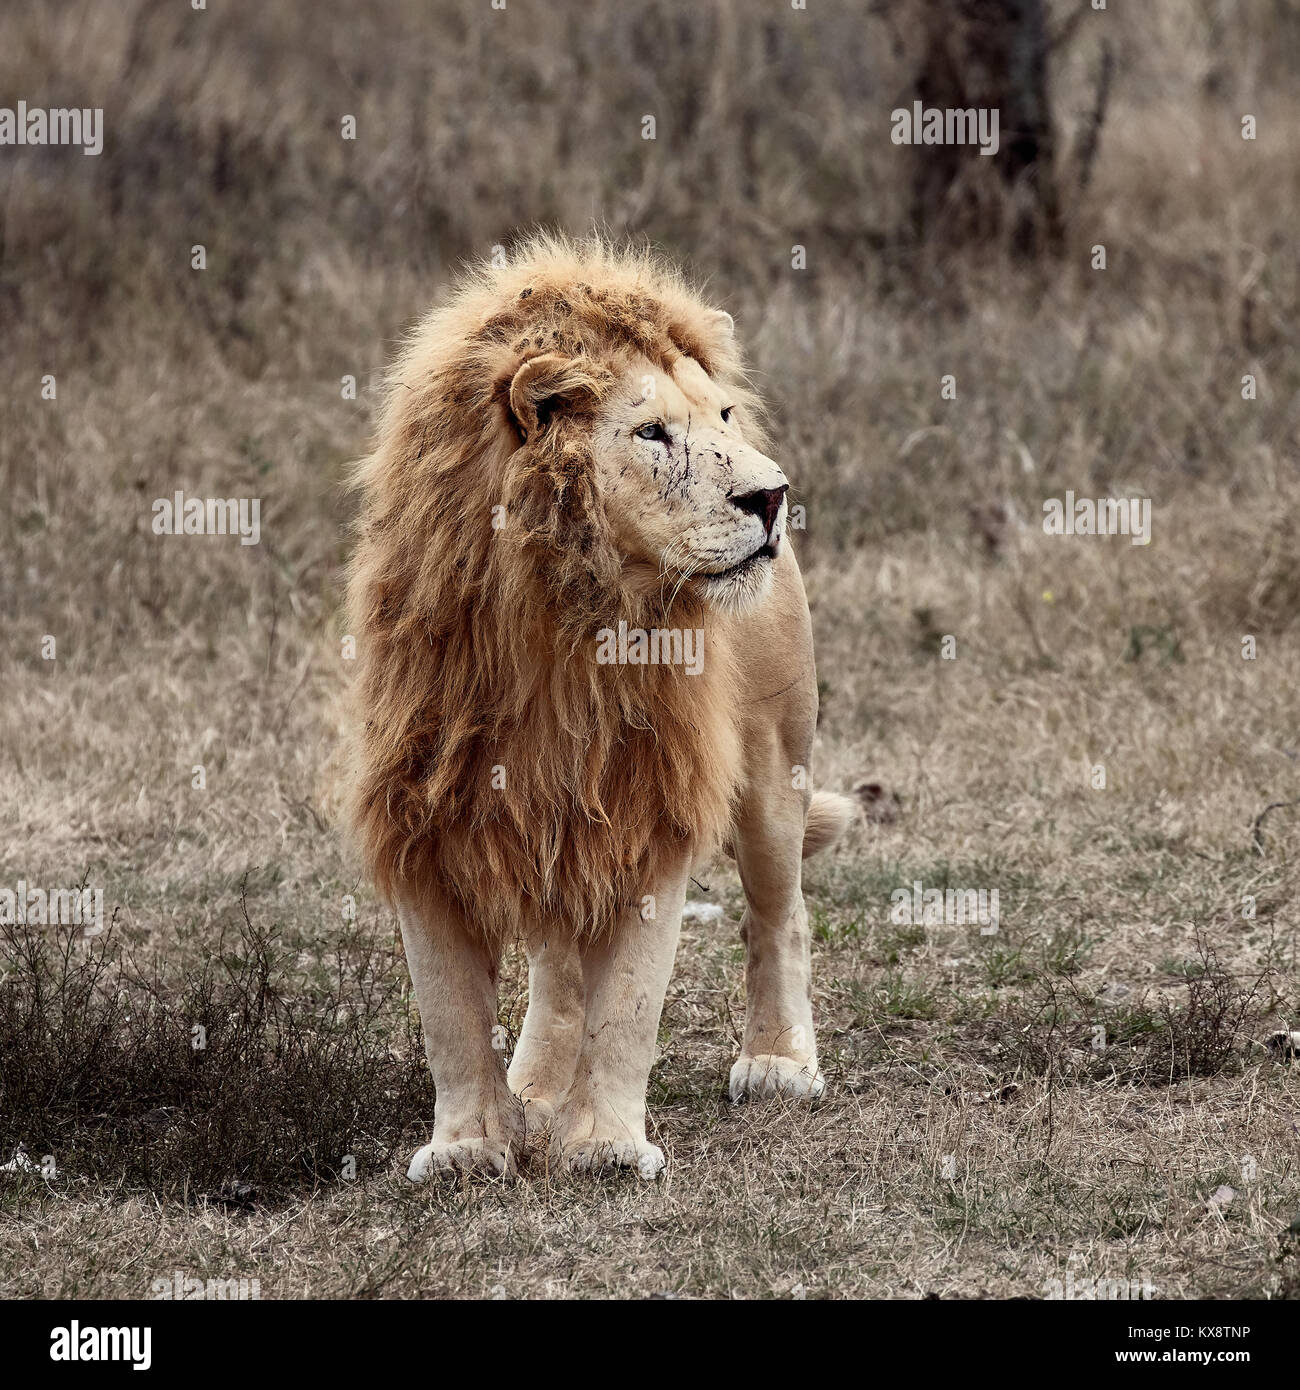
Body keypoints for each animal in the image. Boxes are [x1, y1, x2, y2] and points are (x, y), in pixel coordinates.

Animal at [345, 233, 854, 1180]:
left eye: (724, 416)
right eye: (651, 431)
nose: (772, 497)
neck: (561, 625)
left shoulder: (653, 800)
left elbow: (628, 1004)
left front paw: (608, 1148)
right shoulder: (423, 807)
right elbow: (449, 1012)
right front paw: (469, 1147)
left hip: (776, 770)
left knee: (781, 913)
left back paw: (779, 1062)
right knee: (557, 967)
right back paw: (540, 1084)